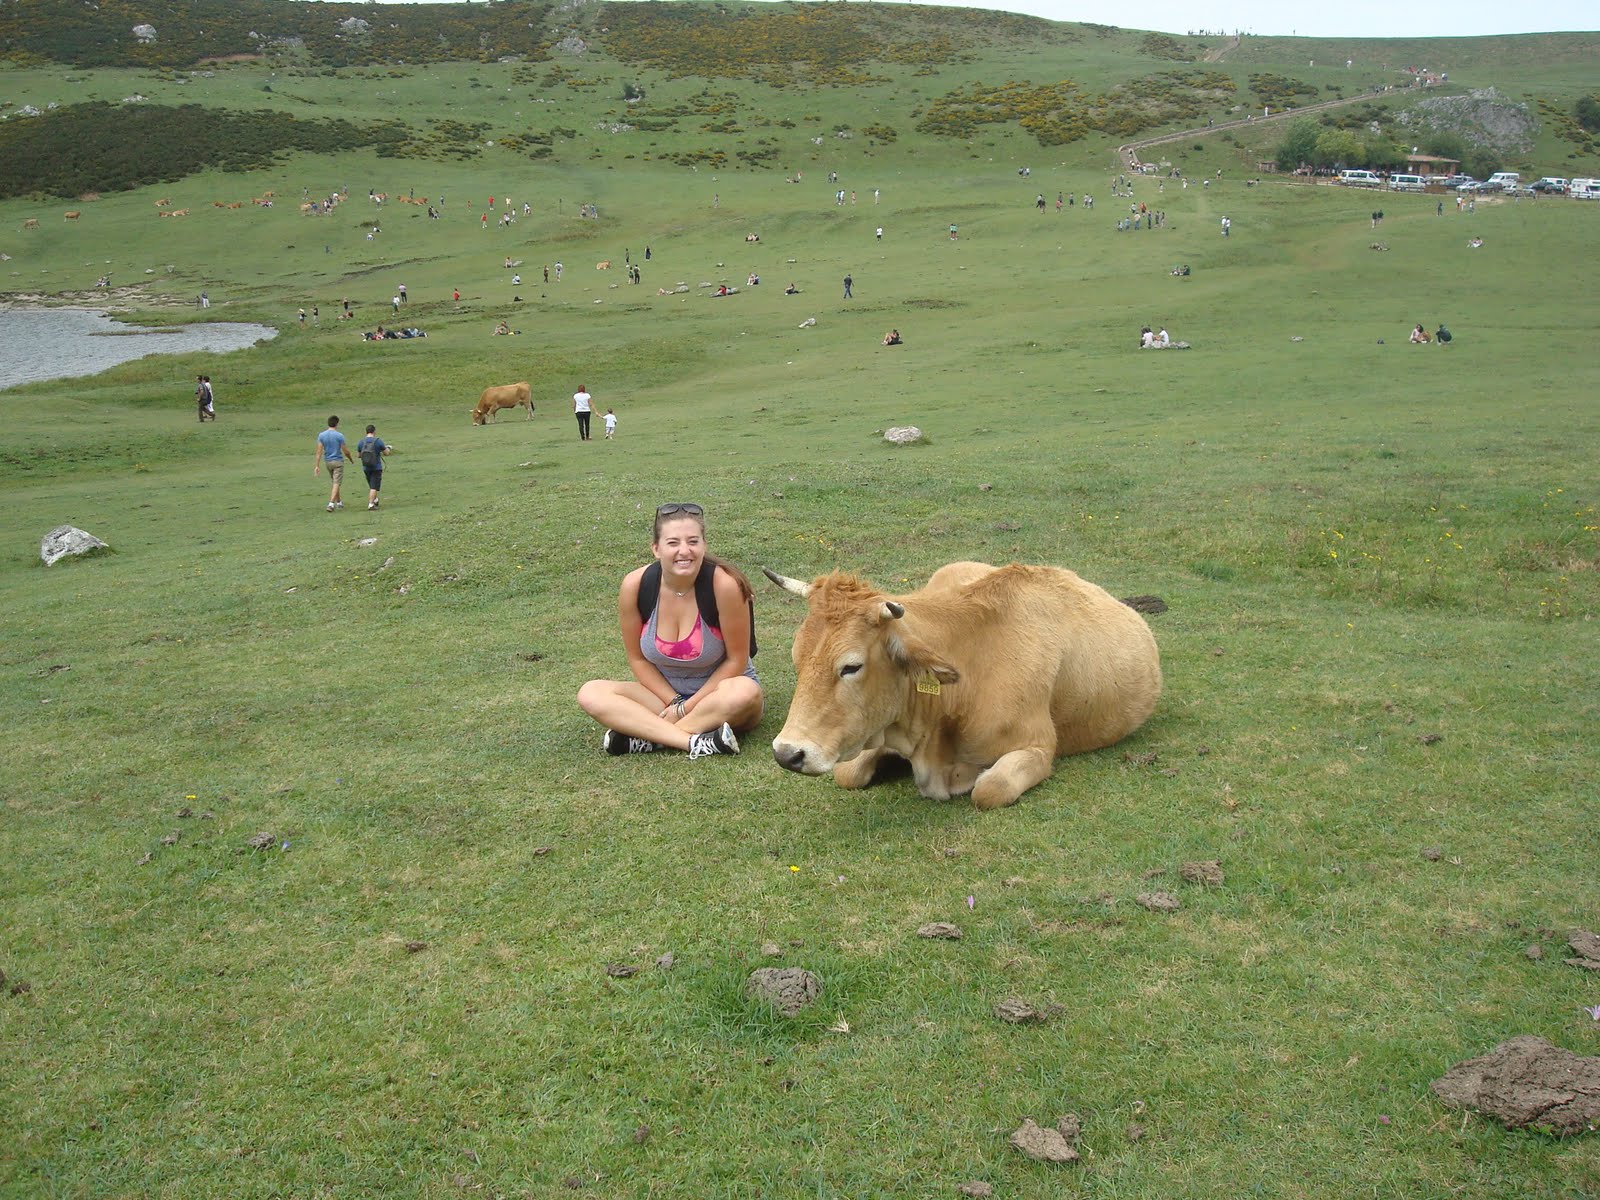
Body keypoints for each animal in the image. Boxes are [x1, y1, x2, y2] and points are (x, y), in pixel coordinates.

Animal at [762, 562, 1162, 810]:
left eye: (851, 666)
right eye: (797, 657)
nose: (787, 753)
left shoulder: (1038, 747)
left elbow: (990, 789)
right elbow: (847, 773)